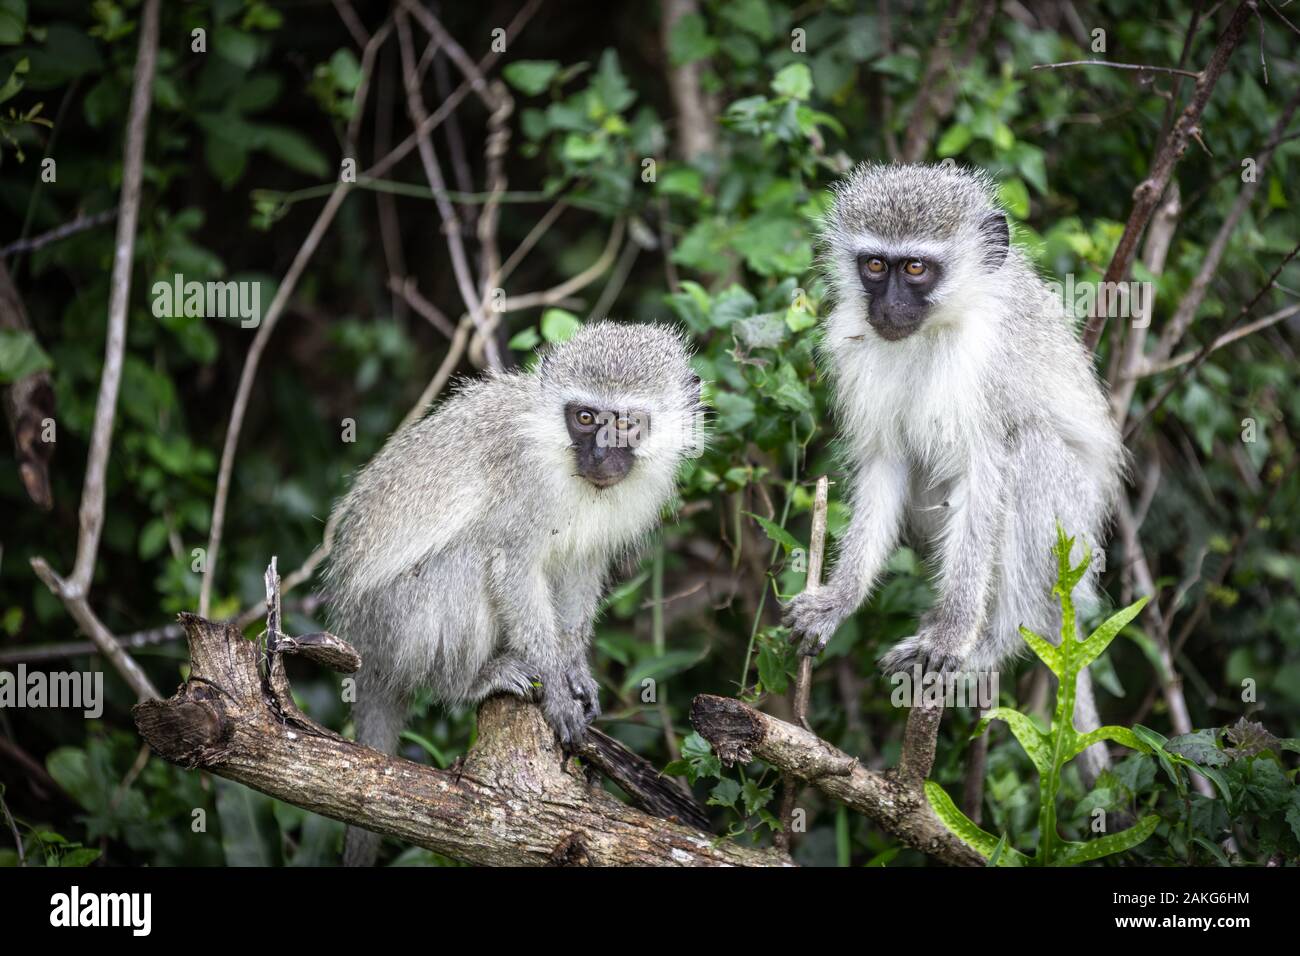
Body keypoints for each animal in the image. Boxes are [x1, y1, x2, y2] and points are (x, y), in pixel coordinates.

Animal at [325, 320, 702, 865]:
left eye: (627, 423)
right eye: (585, 418)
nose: (599, 454)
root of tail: (363, 647)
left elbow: (579, 567)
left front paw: (572, 668)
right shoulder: (525, 483)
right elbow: (513, 565)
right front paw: (557, 690)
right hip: (392, 626)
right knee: (467, 557)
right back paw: (471, 681)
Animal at [784, 162, 1124, 780]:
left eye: (916, 268)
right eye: (876, 265)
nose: (887, 309)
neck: (934, 331)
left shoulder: (987, 373)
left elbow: (986, 475)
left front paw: (951, 639)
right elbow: (886, 462)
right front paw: (839, 599)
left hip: (1078, 537)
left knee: (1030, 450)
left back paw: (992, 642)